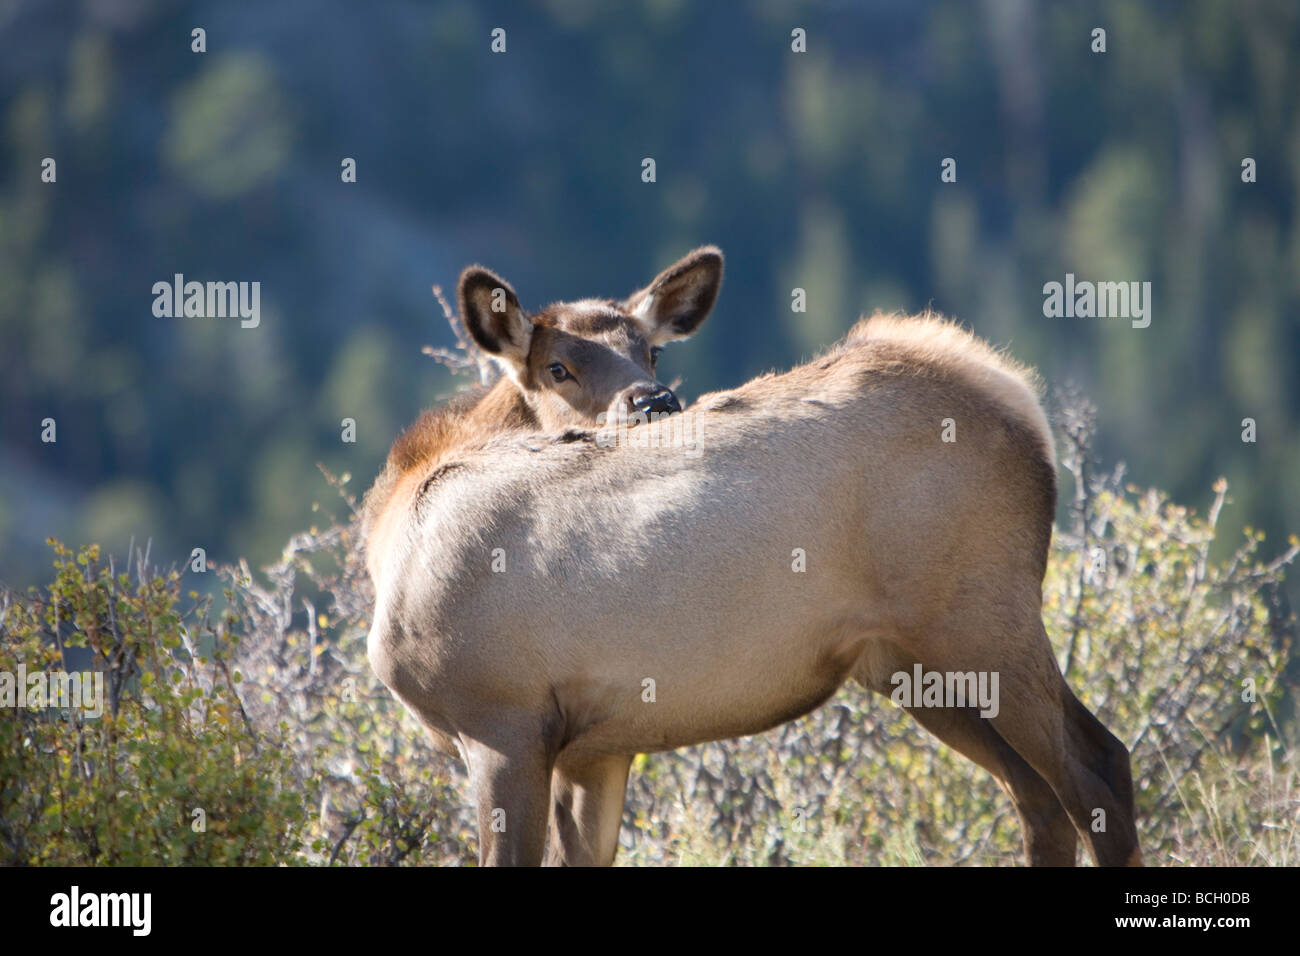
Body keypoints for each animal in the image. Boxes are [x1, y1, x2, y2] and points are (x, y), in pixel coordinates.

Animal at [362, 247, 1142, 868]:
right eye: (558, 366)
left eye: (654, 351)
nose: (657, 401)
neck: (393, 525)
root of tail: (1017, 399)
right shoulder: (595, 748)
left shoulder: (501, 716)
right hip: (912, 661)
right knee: (1037, 796)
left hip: (981, 614)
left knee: (1097, 765)